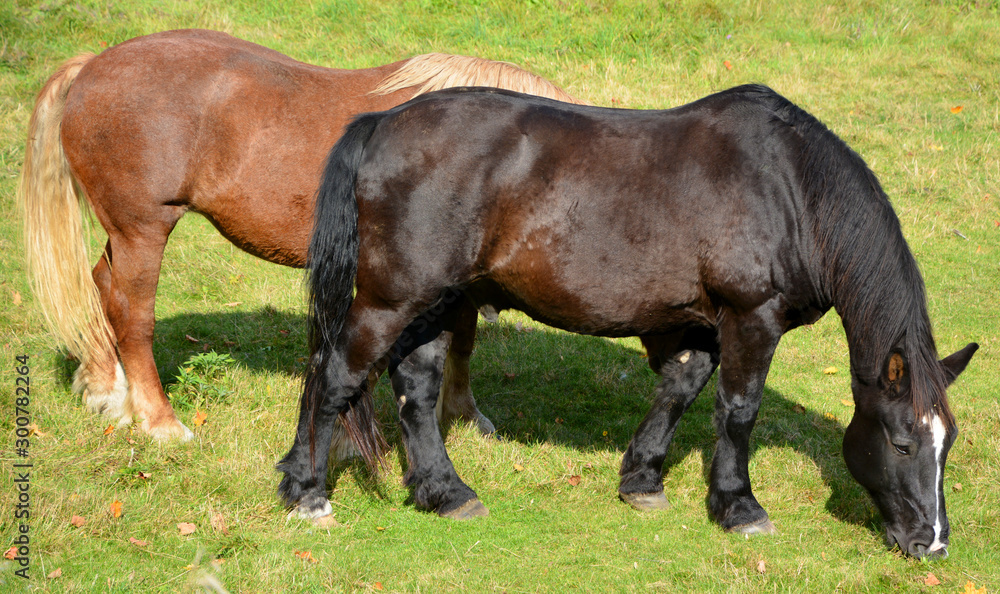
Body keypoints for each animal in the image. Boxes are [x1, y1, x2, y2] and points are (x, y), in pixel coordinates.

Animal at [18, 29, 583, 448]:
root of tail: (93, 65)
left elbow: (462, 342)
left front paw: (466, 416)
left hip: (124, 233)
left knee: (100, 288)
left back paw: (105, 389)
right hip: (143, 230)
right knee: (132, 316)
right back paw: (159, 421)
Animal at [278, 85, 977, 558]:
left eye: (948, 445)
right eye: (902, 443)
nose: (933, 543)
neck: (790, 191)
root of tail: (382, 124)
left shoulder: (699, 324)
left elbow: (681, 391)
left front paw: (642, 479)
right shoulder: (751, 318)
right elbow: (739, 411)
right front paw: (738, 506)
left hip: (438, 302)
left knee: (416, 392)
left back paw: (444, 491)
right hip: (393, 298)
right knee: (336, 372)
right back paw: (308, 491)